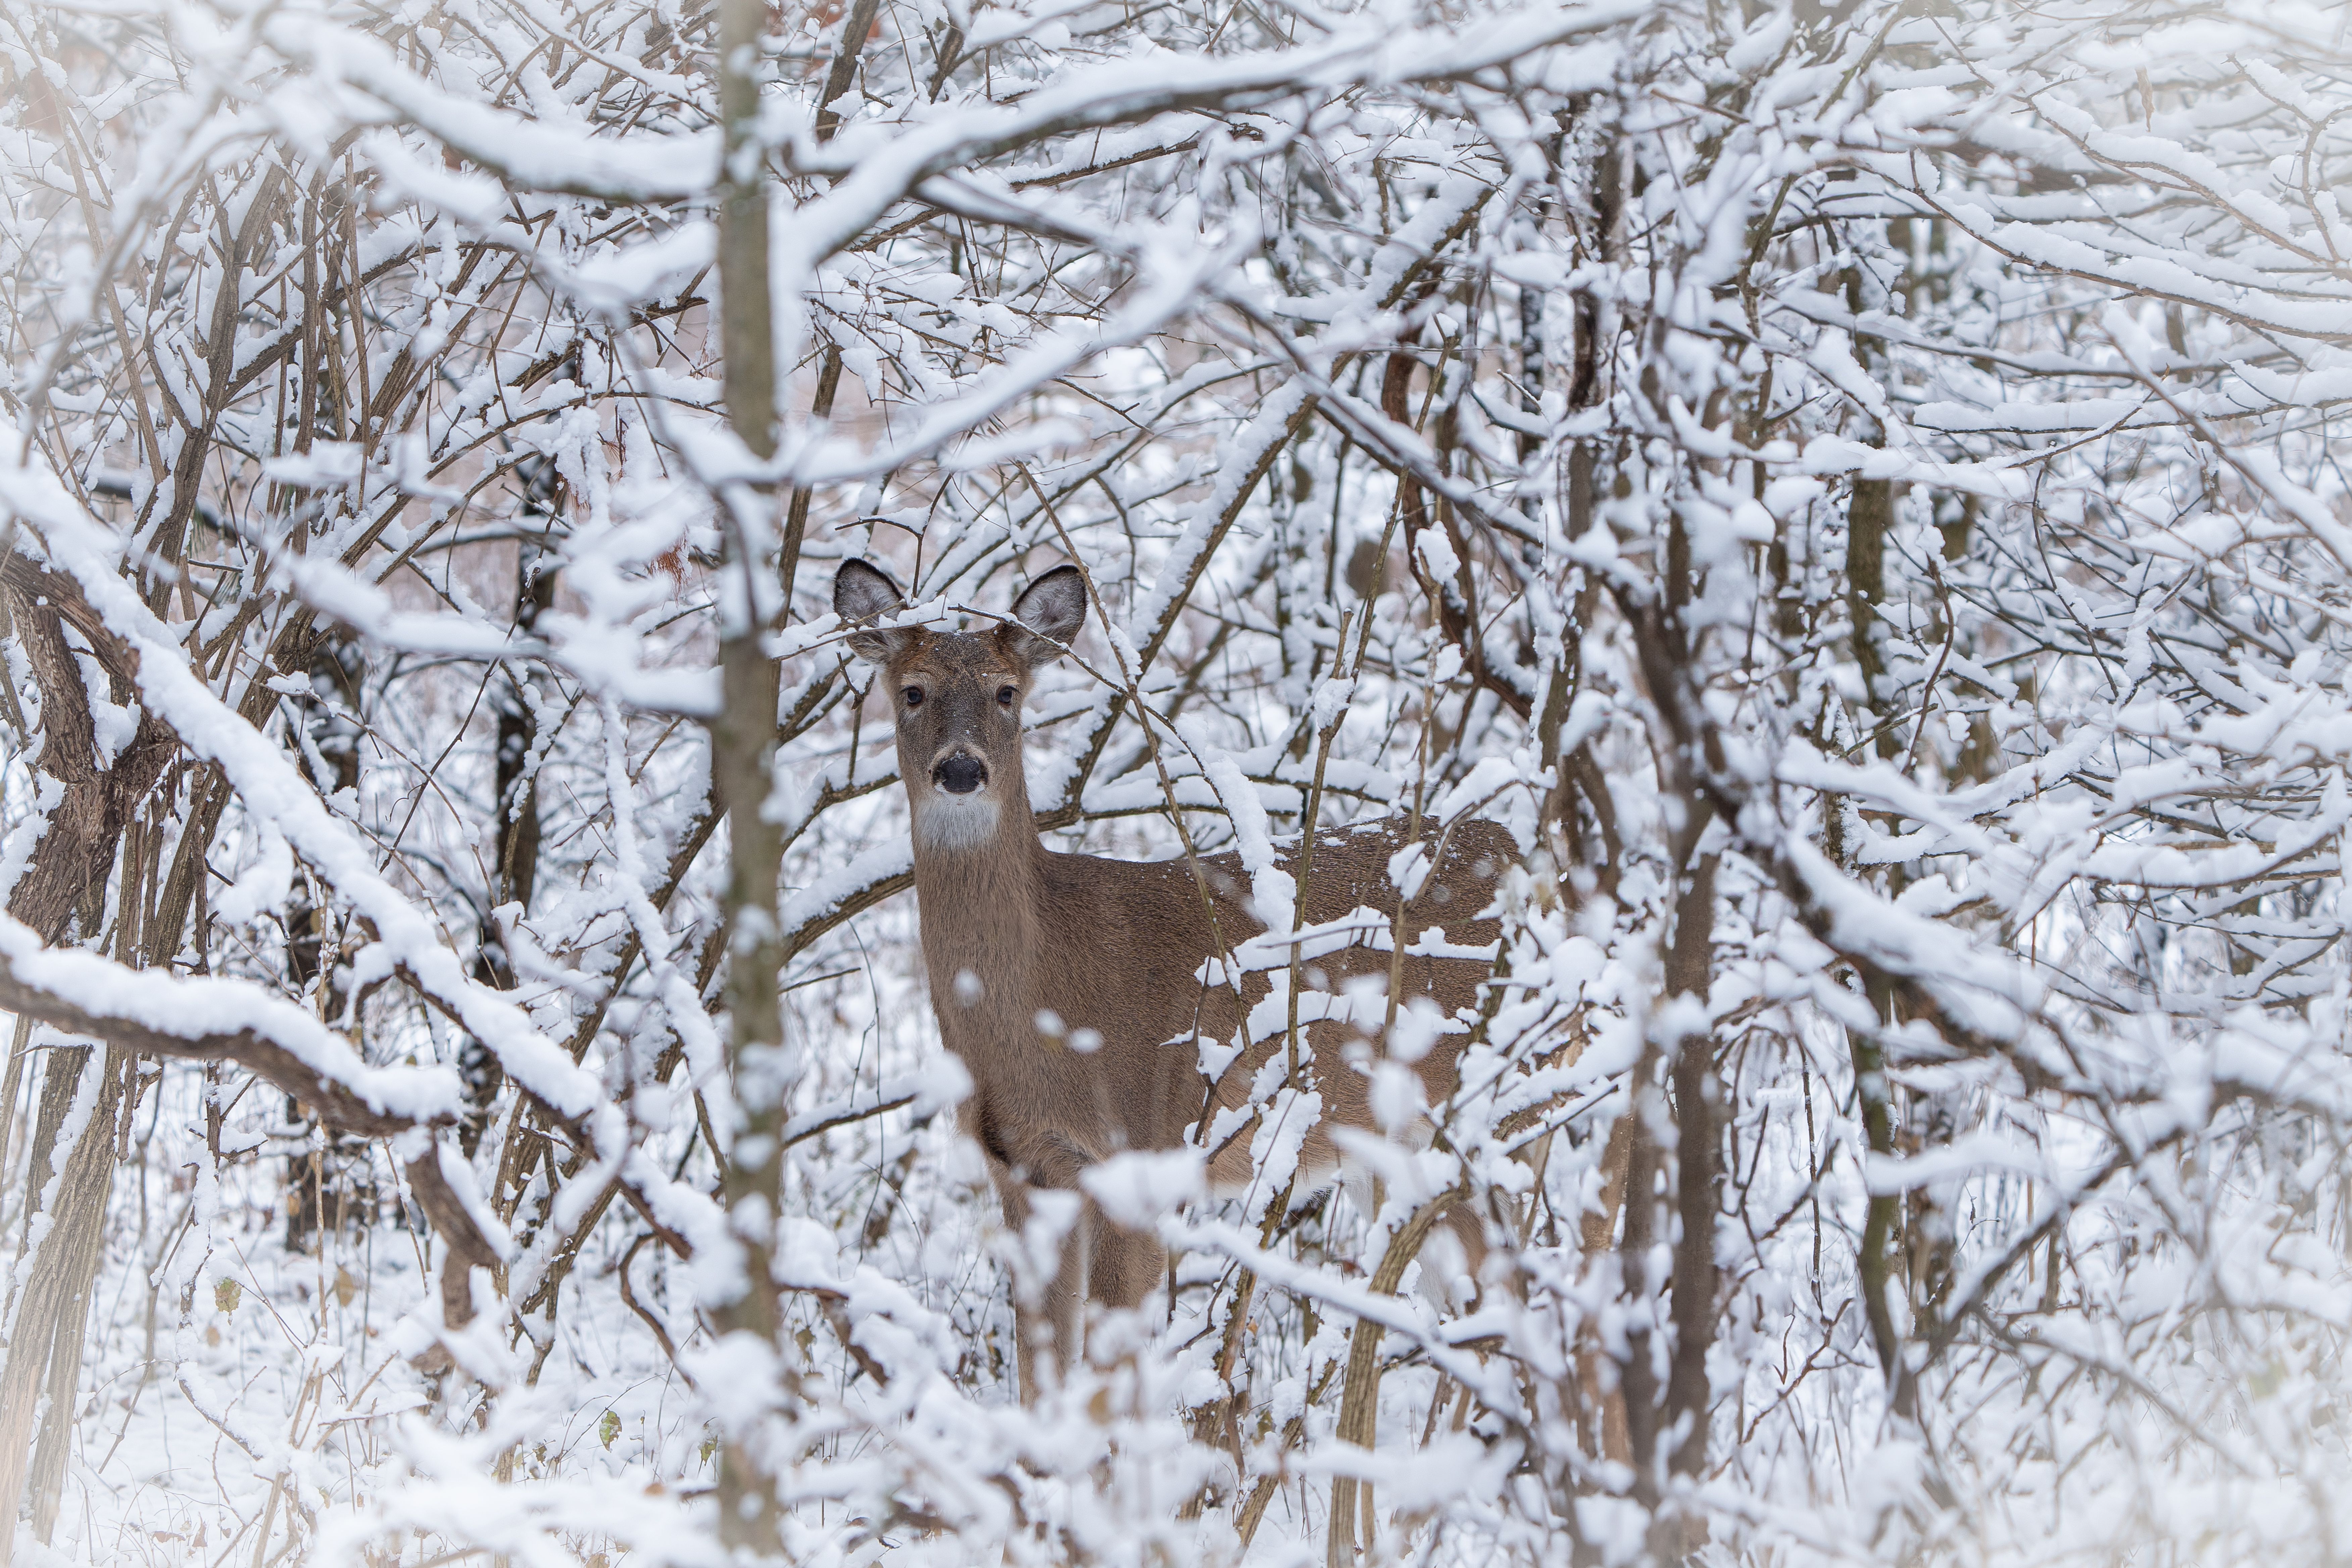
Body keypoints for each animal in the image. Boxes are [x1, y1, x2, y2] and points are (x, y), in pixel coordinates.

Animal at [831, 557, 1515, 1397]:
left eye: (1007, 691)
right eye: (912, 690)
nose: (961, 768)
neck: (1044, 999)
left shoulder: (1142, 1152)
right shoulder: (1023, 1169)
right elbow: (1041, 1378)